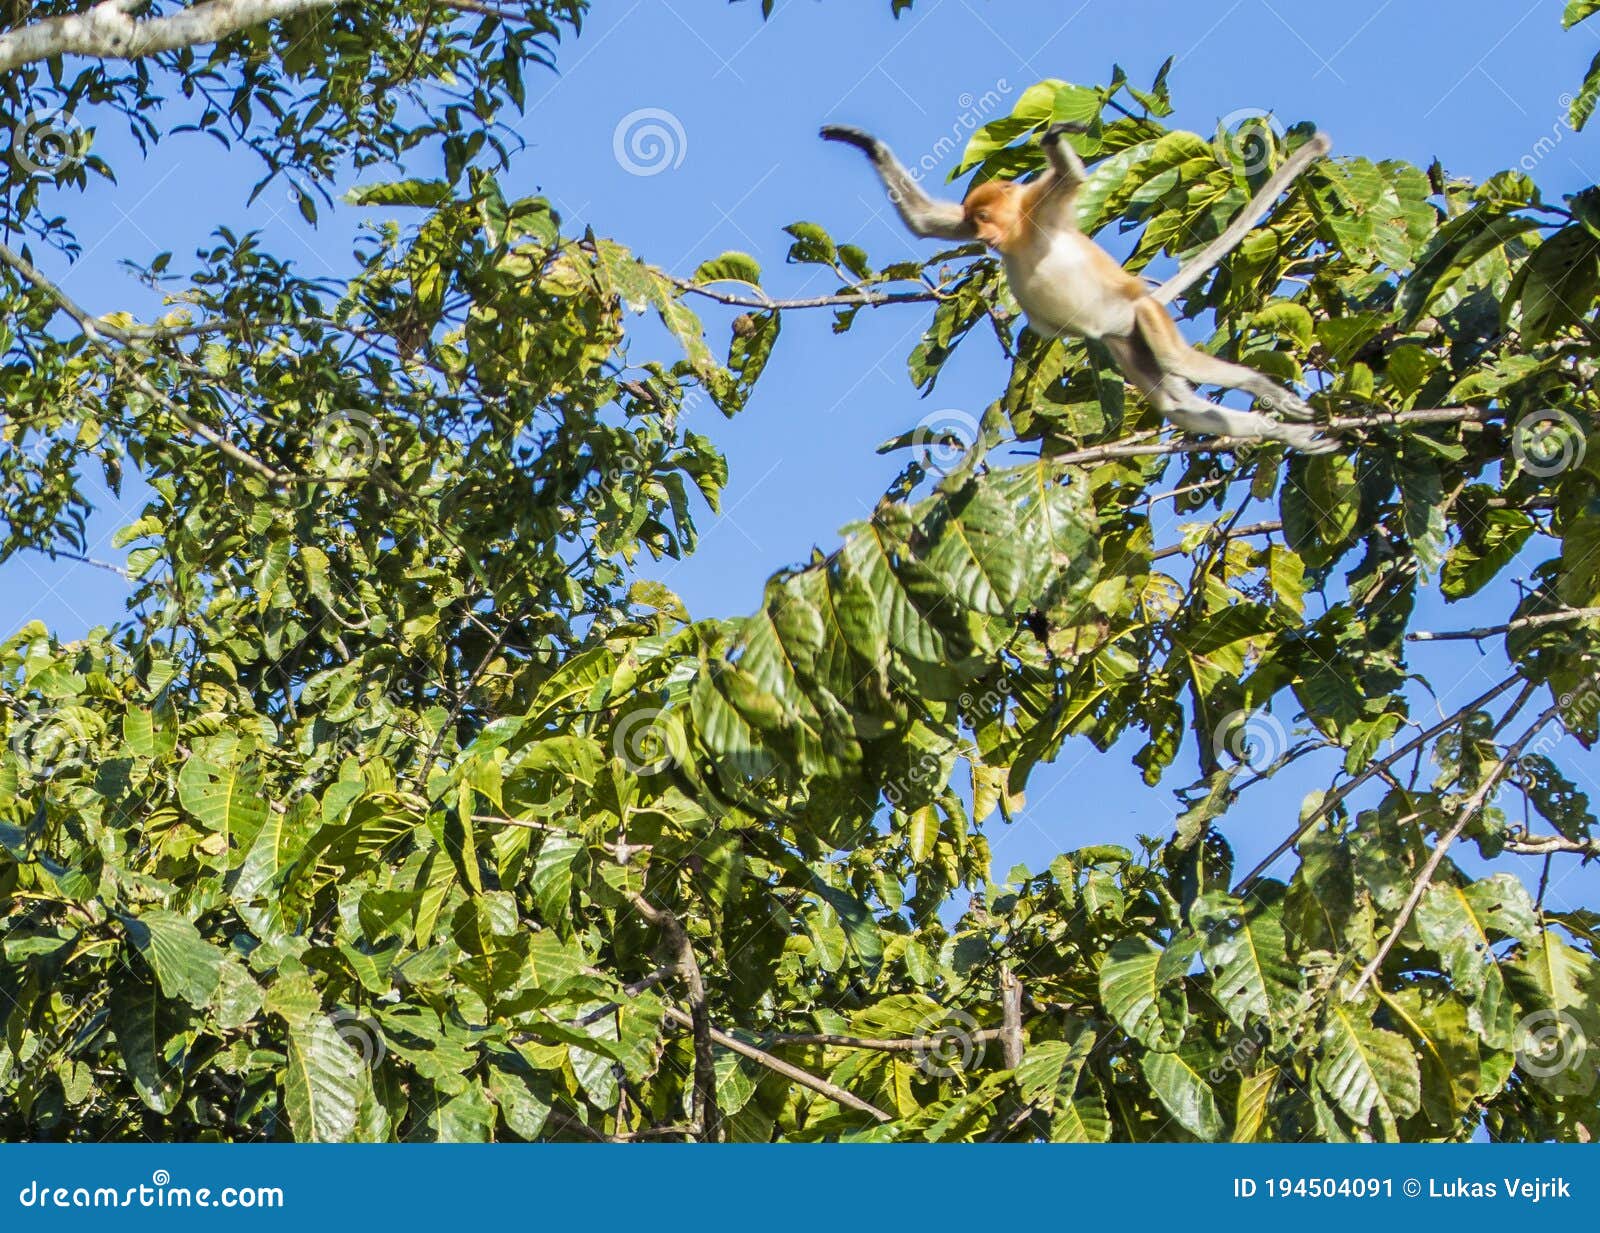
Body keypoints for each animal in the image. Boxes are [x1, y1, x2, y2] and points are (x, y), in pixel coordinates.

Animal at [821, 122, 1335, 453]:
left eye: (985, 216)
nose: (984, 236)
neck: (1018, 233)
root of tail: (1140, 300)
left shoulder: (1038, 204)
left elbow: (1072, 177)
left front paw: (1055, 135)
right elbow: (926, 223)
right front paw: (858, 139)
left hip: (1146, 317)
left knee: (1177, 362)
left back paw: (1263, 390)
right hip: (1128, 341)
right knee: (1176, 404)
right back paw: (1283, 433)